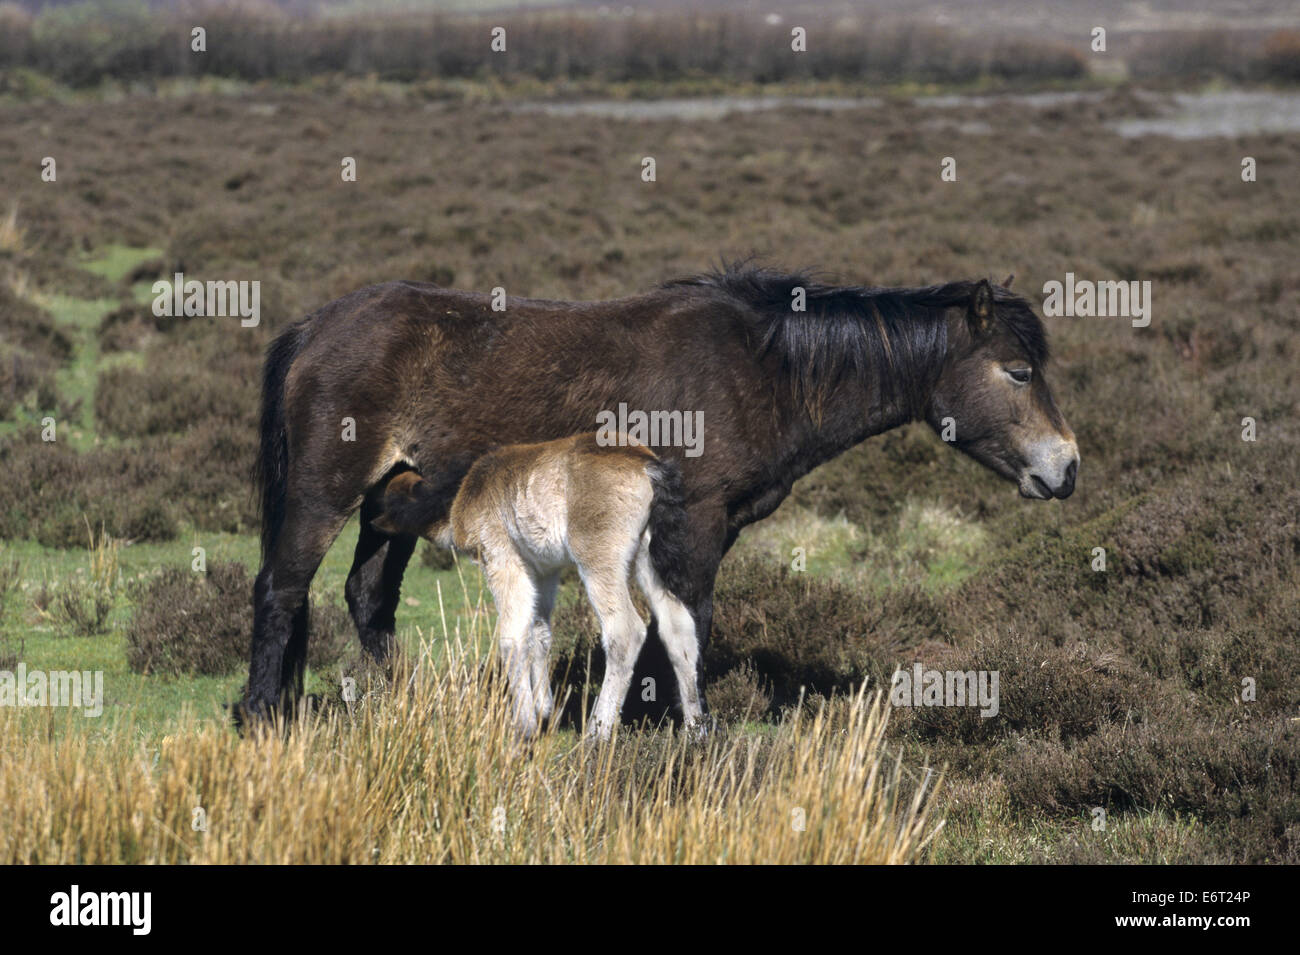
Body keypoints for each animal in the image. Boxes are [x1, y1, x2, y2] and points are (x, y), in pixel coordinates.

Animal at [372, 432, 697, 739]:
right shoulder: (544, 571)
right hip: (647, 561)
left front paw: (524, 724)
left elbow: (512, 638)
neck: (464, 488)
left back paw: (597, 732)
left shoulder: (503, 561)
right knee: (678, 626)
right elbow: (538, 632)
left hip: (599, 561)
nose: (375, 526)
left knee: (625, 632)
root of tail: (648, 464)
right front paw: (544, 712)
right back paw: (696, 730)